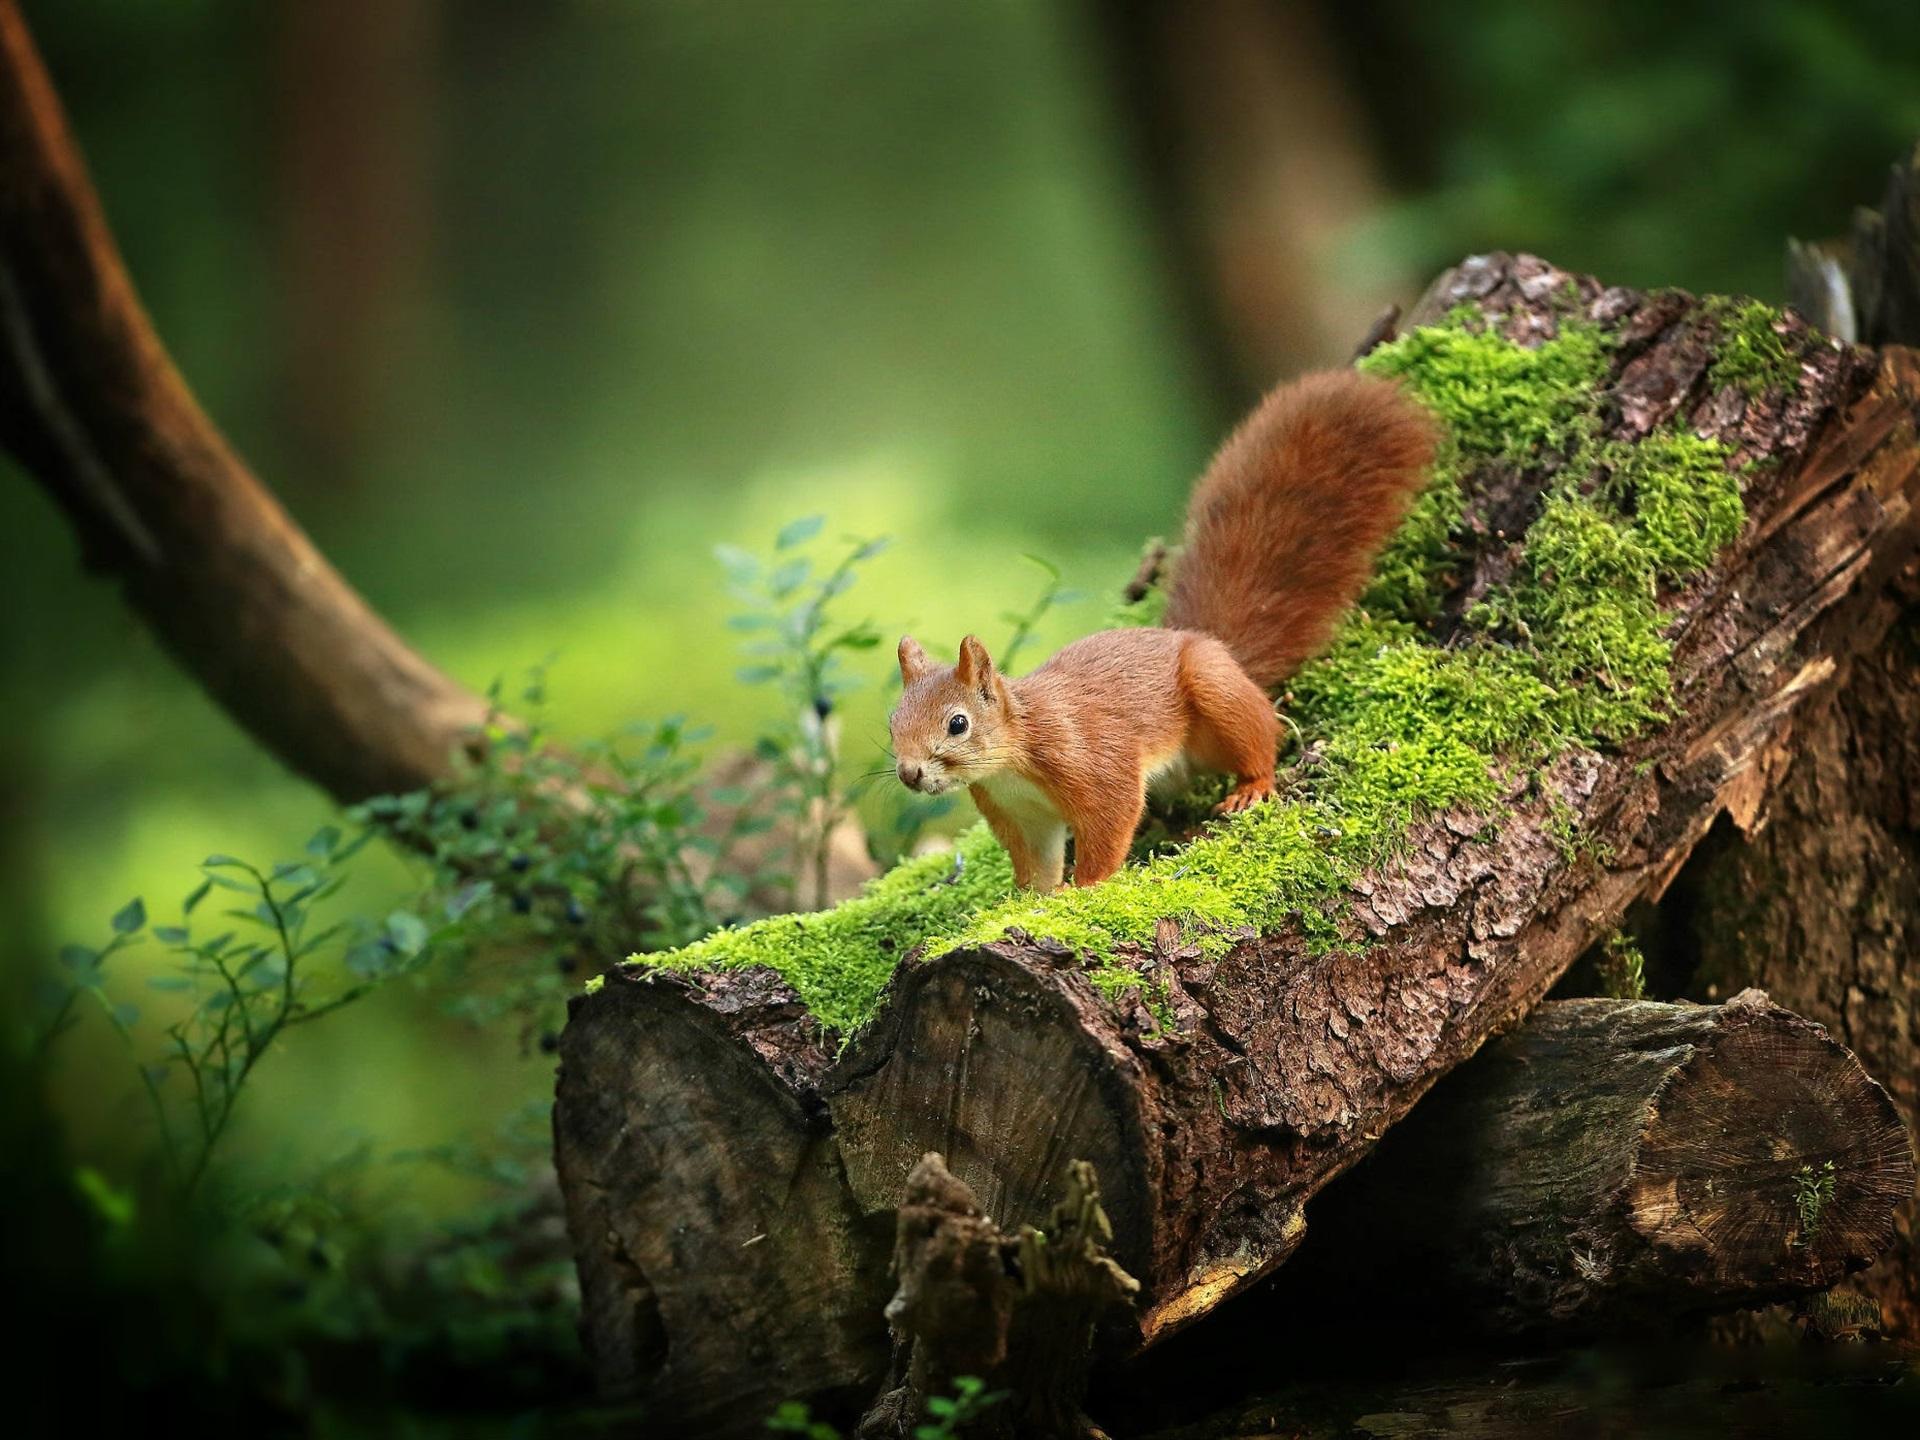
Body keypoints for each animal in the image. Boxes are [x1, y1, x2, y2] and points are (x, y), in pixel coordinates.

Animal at [889, 368, 1438, 892]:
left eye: (958, 723)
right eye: (892, 722)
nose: (909, 773)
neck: (1011, 759)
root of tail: (1205, 643)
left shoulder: (1093, 762)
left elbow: (1110, 822)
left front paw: (1085, 888)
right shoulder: (1021, 814)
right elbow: (1036, 864)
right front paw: (1031, 900)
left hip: (1215, 689)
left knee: (1264, 733)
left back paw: (1253, 786)